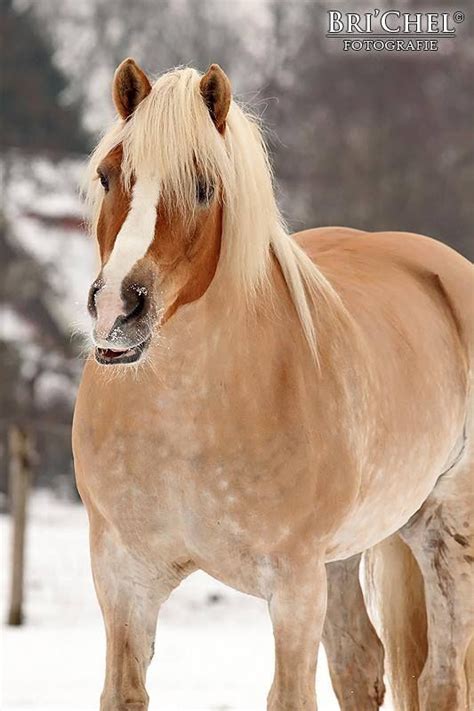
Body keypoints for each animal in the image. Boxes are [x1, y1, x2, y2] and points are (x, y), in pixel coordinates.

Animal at [72, 59, 473, 711]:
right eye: (108, 176)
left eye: (204, 186)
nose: (116, 309)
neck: (186, 420)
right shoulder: (122, 578)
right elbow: (124, 692)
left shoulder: (293, 586)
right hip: (346, 557)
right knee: (360, 668)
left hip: (443, 530)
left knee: (439, 680)